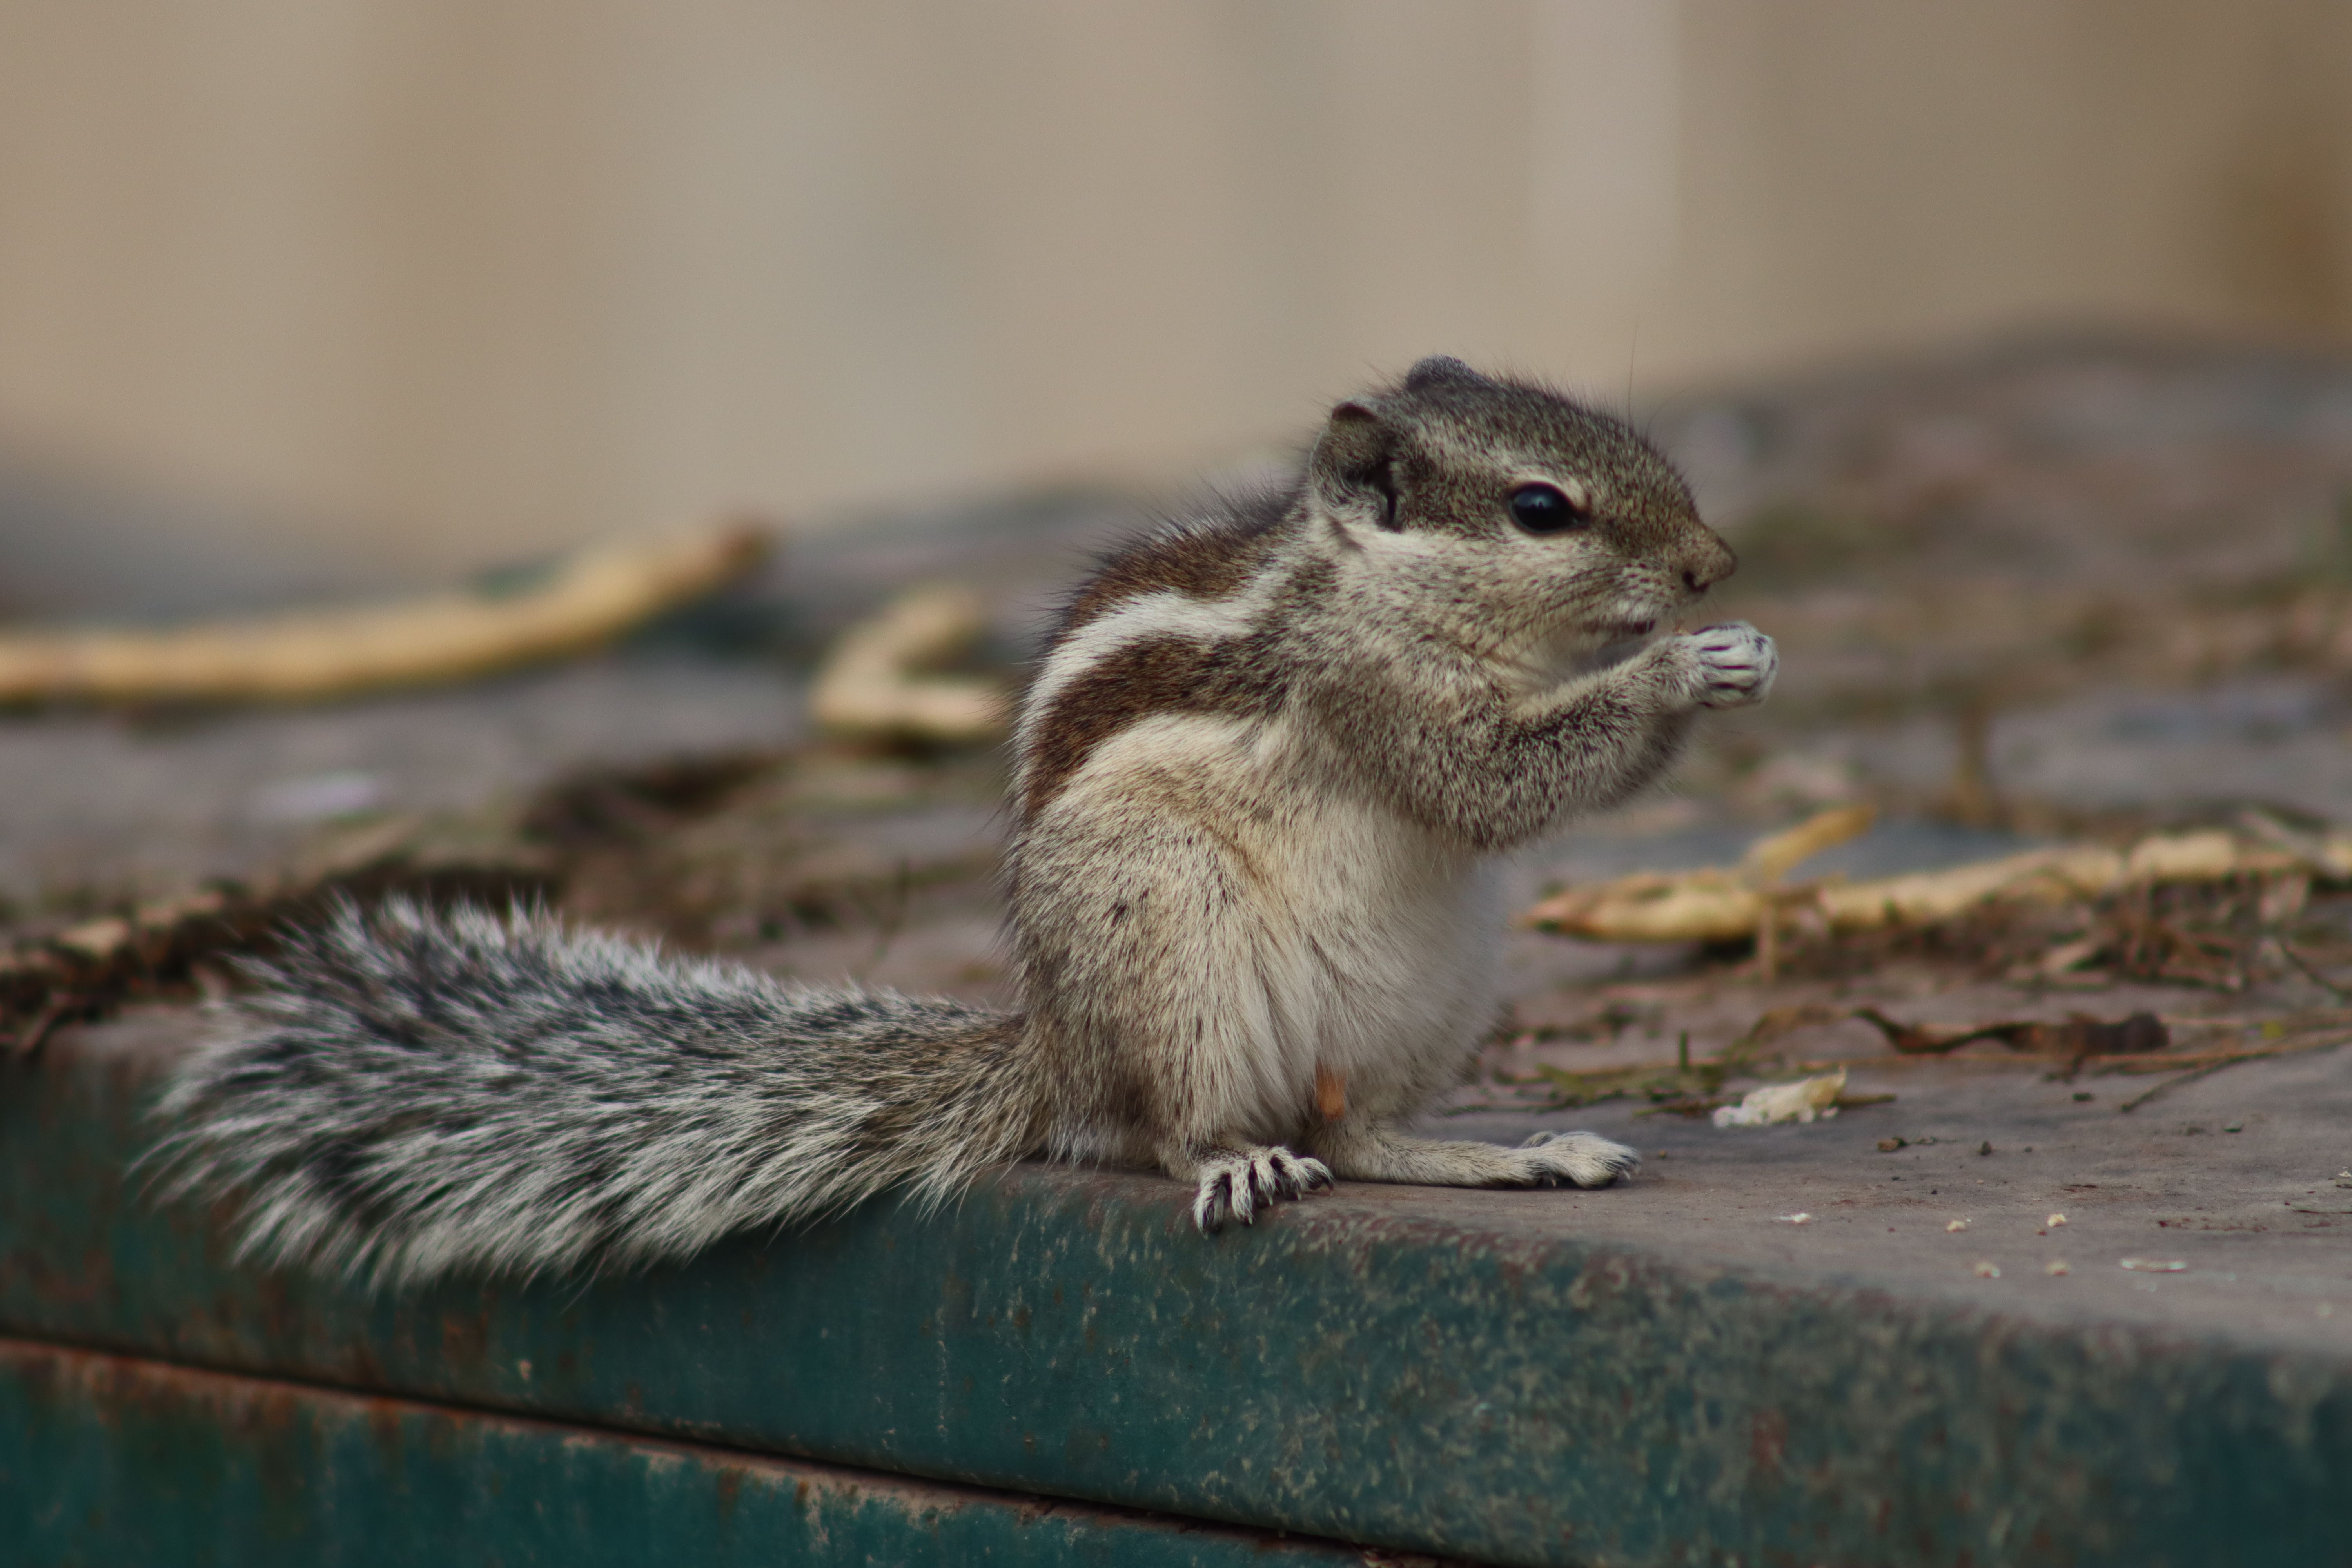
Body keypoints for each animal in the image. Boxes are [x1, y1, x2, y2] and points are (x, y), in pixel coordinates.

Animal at [155, 356, 1776, 1286]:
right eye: (1541, 509)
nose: (1714, 564)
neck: (1374, 586)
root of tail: (1054, 1050)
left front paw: (1735, 650)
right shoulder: (1367, 691)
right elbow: (1484, 780)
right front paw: (1686, 670)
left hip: (1432, 988)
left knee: (1363, 1133)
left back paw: (1517, 1156)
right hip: (1165, 935)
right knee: (1176, 1132)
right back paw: (1231, 1160)